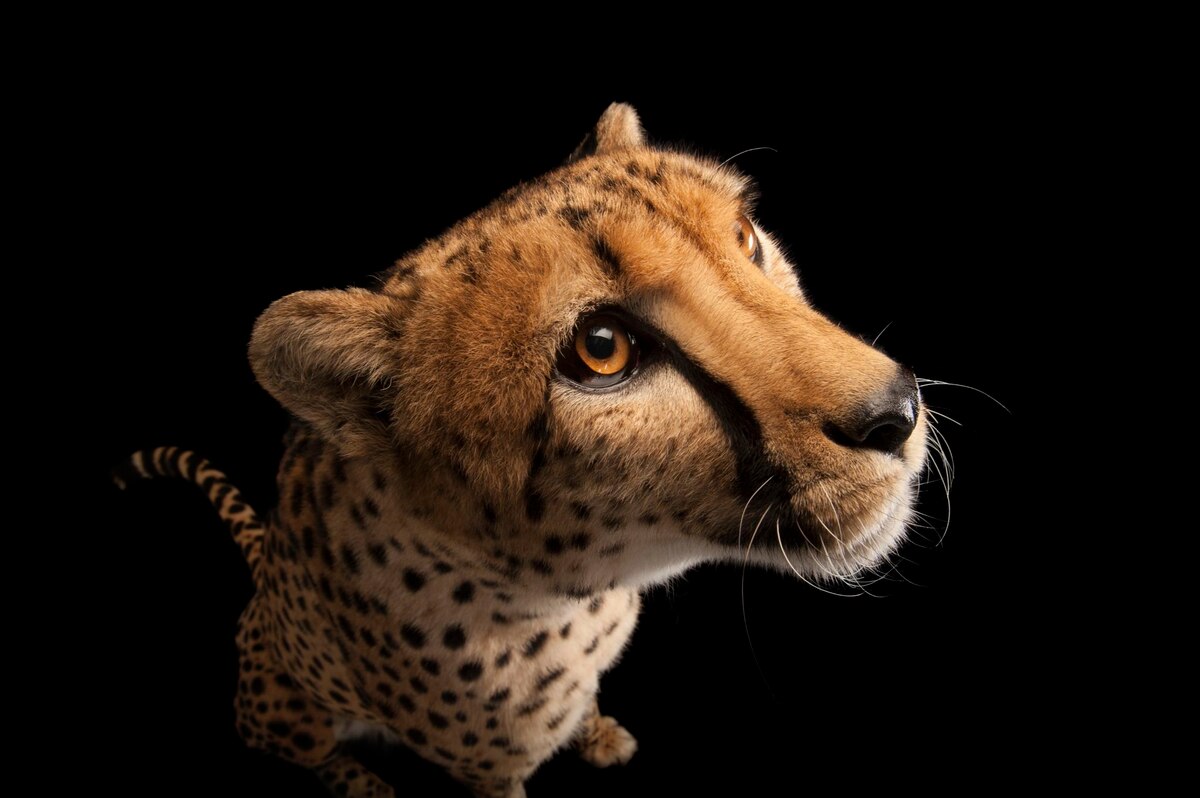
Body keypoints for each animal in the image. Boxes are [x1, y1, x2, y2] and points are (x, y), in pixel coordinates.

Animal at [116, 103, 928, 798]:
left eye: (745, 238)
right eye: (602, 349)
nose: (895, 411)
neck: (571, 596)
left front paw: (598, 733)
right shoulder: (488, 773)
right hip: (288, 710)